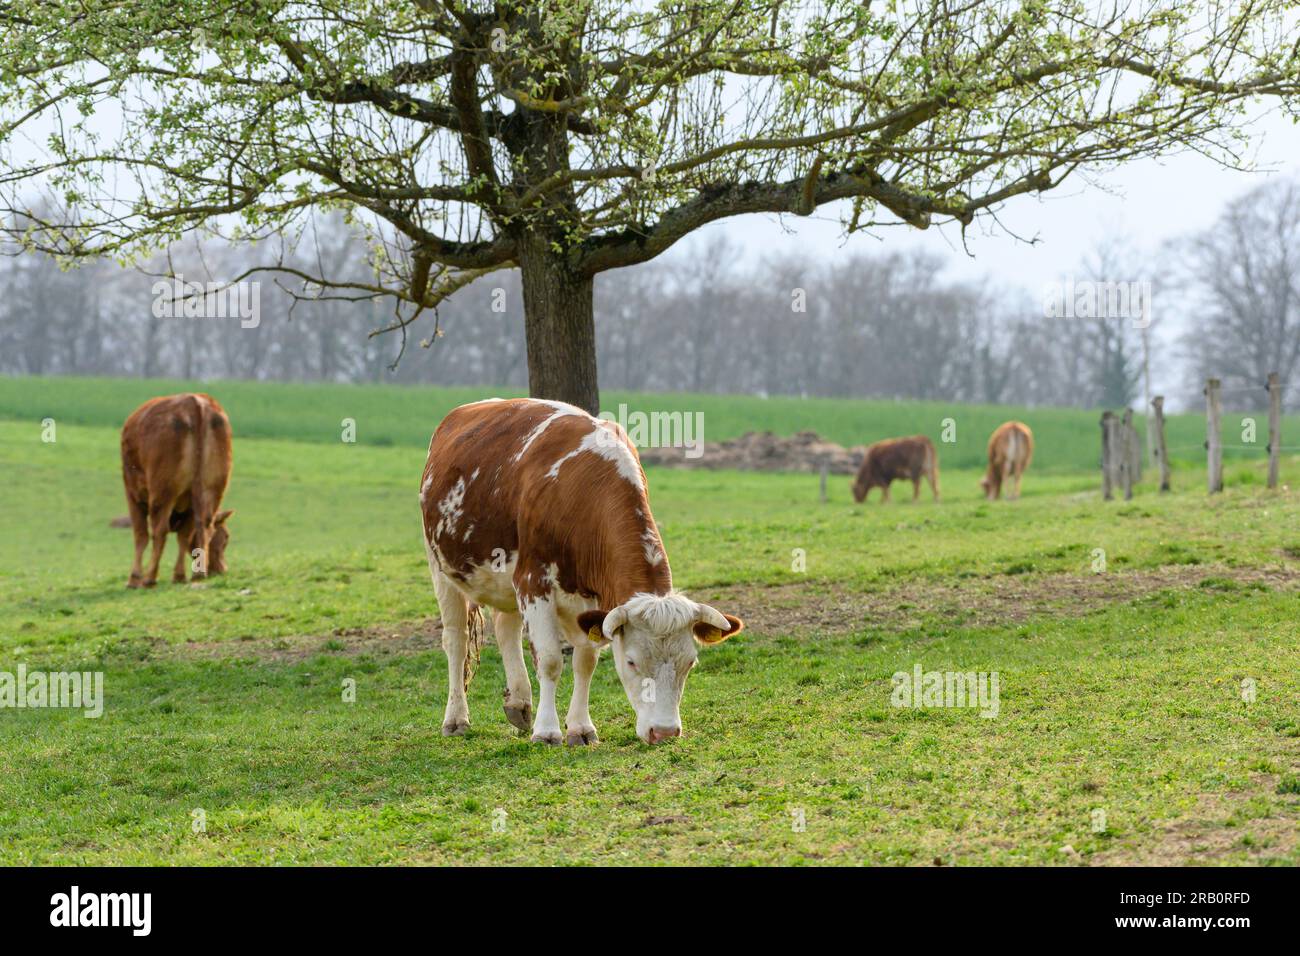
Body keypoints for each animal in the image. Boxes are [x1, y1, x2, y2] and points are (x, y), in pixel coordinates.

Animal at [120, 393, 233, 588]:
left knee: (159, 531)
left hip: (162, 494)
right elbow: (184, 537)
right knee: (203, 525)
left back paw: (149, 578)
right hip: (210, 489)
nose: (221, 569)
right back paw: (196, 574)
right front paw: (179, 576)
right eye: (225, 537)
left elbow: (141, 535)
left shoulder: (133, 495)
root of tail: (196, 402)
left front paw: (134, 578)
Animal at [419, 398, 744, 746]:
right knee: (456, 640)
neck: (580, 489)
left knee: (506, 627)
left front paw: (580, 728)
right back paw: (456, 719)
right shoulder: (533, 581)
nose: (665, 731)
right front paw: (547, 731)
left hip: (502, 579)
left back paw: (518, 704)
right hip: (441, 568)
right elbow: (550, 660)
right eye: (631, 662)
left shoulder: (591, 599)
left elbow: (585, 660)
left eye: (689, 663)